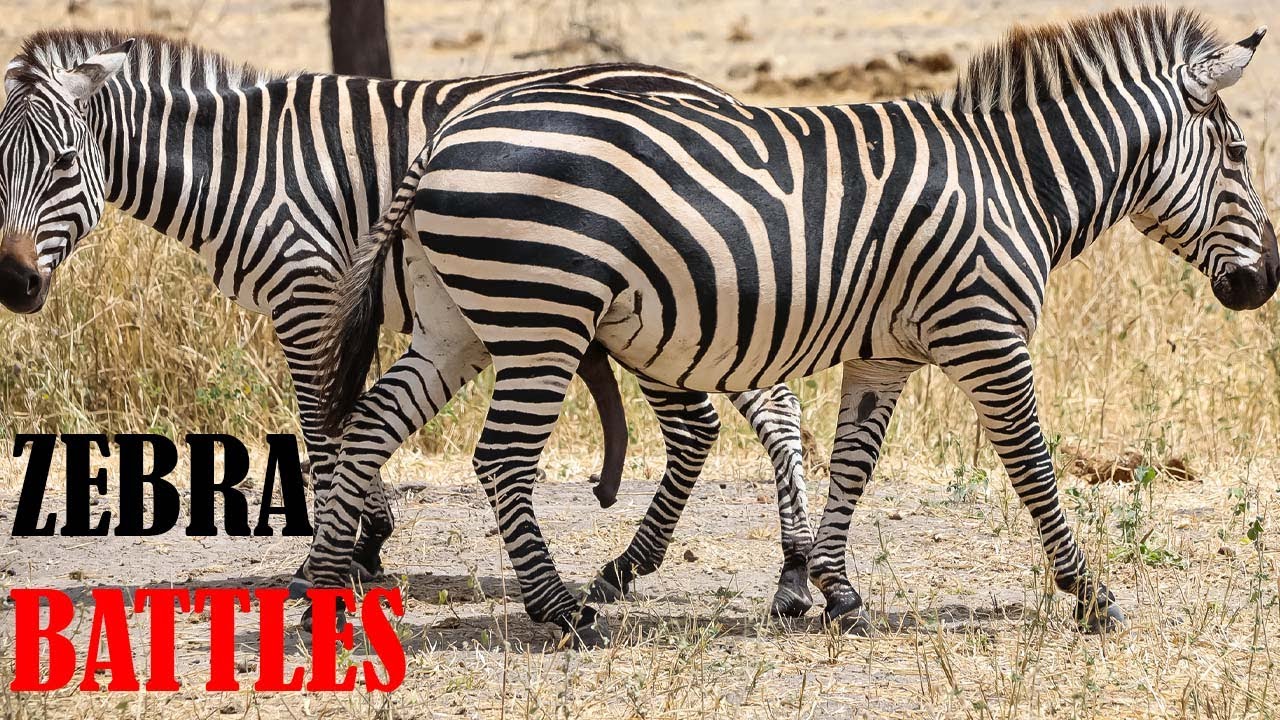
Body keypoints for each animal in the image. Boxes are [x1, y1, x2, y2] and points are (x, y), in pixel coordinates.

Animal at [0, 31, 818, 620]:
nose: (14, 283)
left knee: (742, 416)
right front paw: (364, 538)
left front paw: (343, 552)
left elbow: (322, 424)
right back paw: (766, 571)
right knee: (747, 414)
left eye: (66, 162)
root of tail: (721, 97)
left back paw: (771, 573)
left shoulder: (309, 290)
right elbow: (351, 418)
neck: (236, 166)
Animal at [320, 7, 1278, 646]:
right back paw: (562, 613)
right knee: (501, 459)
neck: (1015, 179)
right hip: (541, 316)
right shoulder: (986, 335)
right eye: (1237, 154)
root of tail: (442, 135)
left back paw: (327, 585)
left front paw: (835, 591)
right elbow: (1036, 471)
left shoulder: (886, 356)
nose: (1265, 282)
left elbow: (853, 466)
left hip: (456, 322)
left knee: (370, 426)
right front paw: (1091, 596)